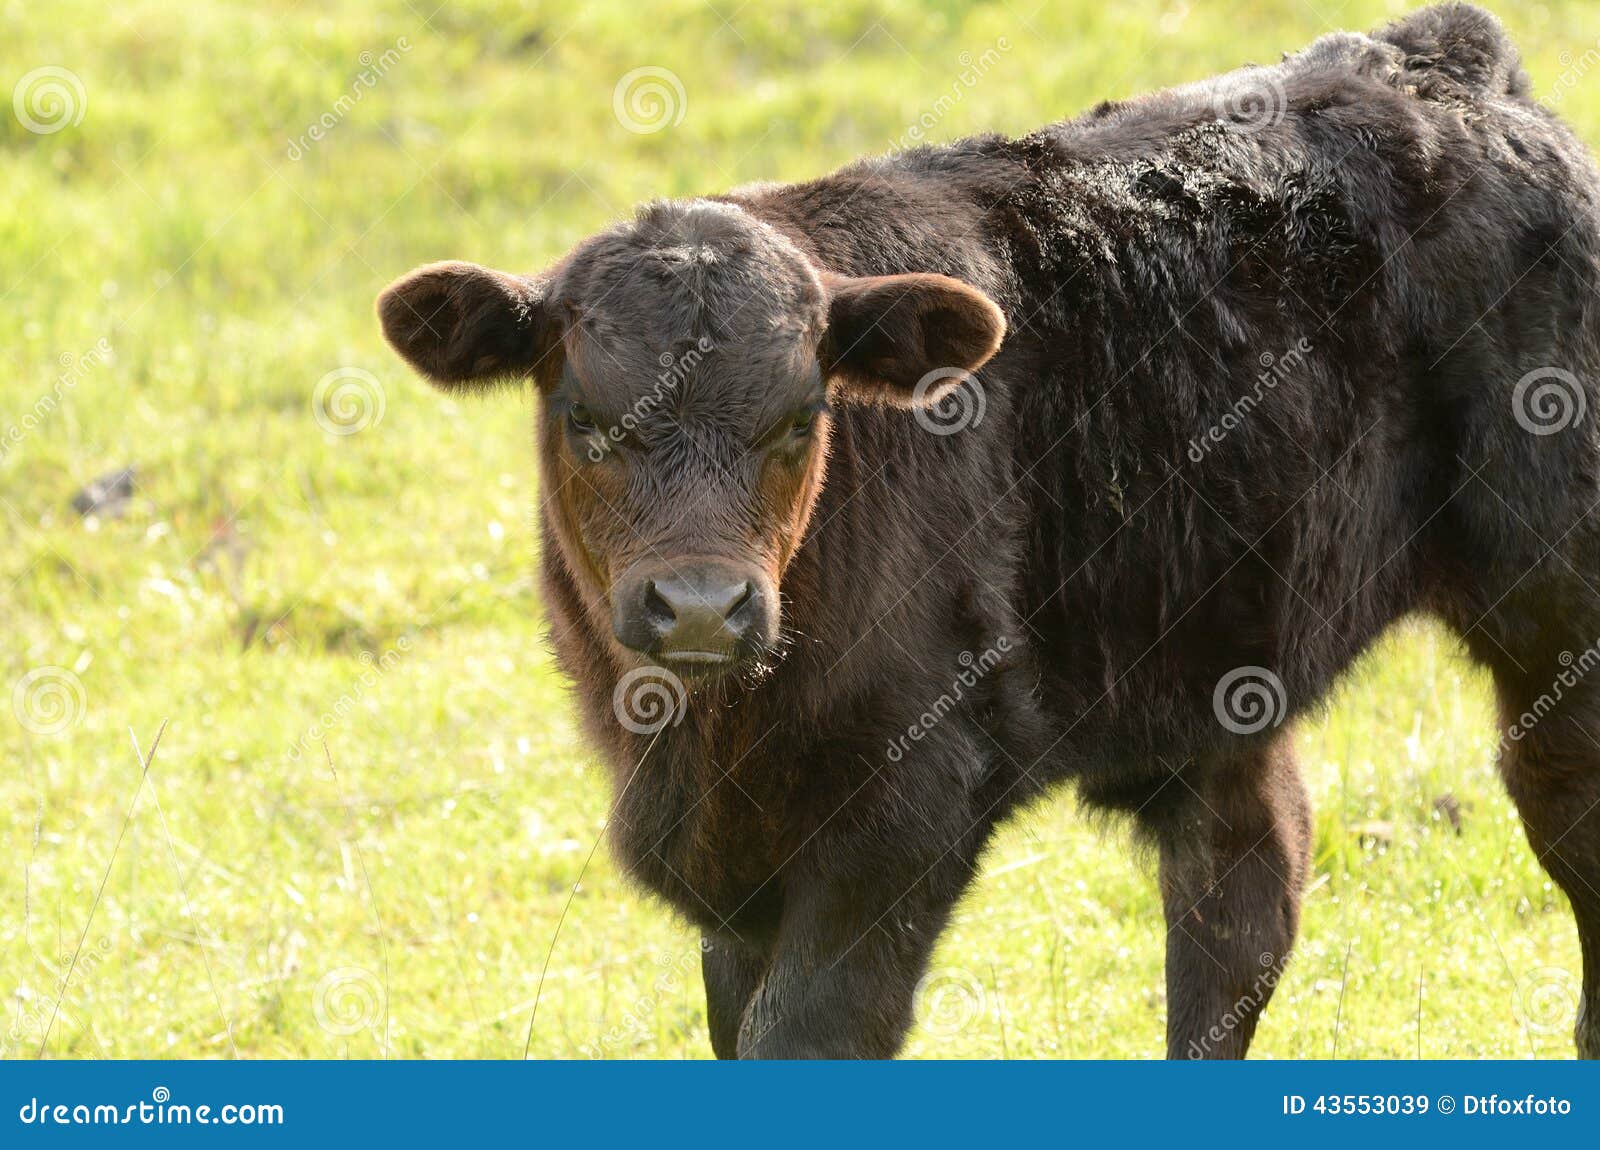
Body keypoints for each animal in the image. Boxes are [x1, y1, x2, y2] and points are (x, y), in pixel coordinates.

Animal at [378, 3, 1600, 1058]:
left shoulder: (907, 808)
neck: (712, 740)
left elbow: (803, 1034)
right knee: (1243, 887)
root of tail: (1435, 60)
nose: (699, 609)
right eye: (584, 418)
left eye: (800, 418)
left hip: (1560, 620)